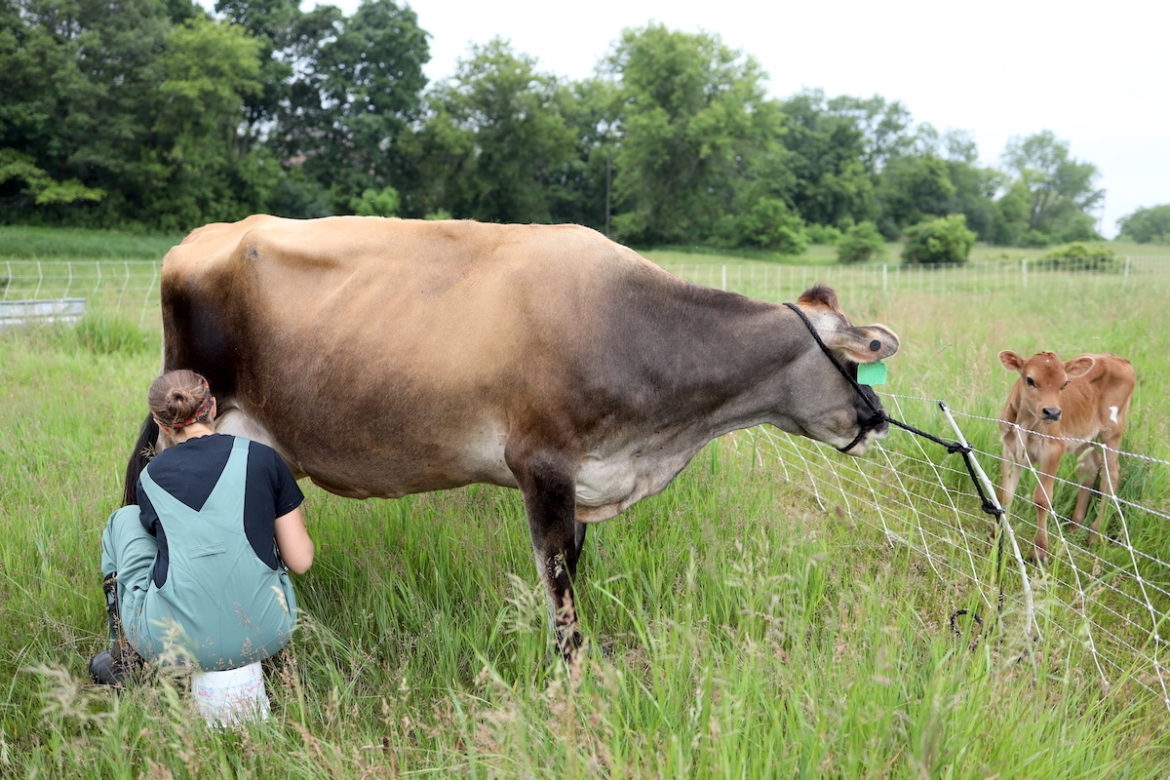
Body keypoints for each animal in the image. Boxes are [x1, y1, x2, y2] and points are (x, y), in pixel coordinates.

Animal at [123, 214, 900, 659]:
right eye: (856, 360)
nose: (875, 418)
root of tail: (203, 238)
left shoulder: (588, 473)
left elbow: (572, 568)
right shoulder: (542, 462)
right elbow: (557, 577)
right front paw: (569, 671)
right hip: (190, 406)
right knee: (139, 494)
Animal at [996, 350, 1136, 562]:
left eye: (1064, 383)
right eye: (1030, 380)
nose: (1052, 412)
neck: (1025, 423)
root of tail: (1118, 359)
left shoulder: (1053, 449)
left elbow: (1042, 499)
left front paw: (1040, 551)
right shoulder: (1010, 449)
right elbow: (1005, 494)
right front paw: (997, 535)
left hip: (1112, 432)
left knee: (1110, 474)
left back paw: (1094, 535)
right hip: (1083, 437)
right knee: (1089, 468)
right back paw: (1074, 526)